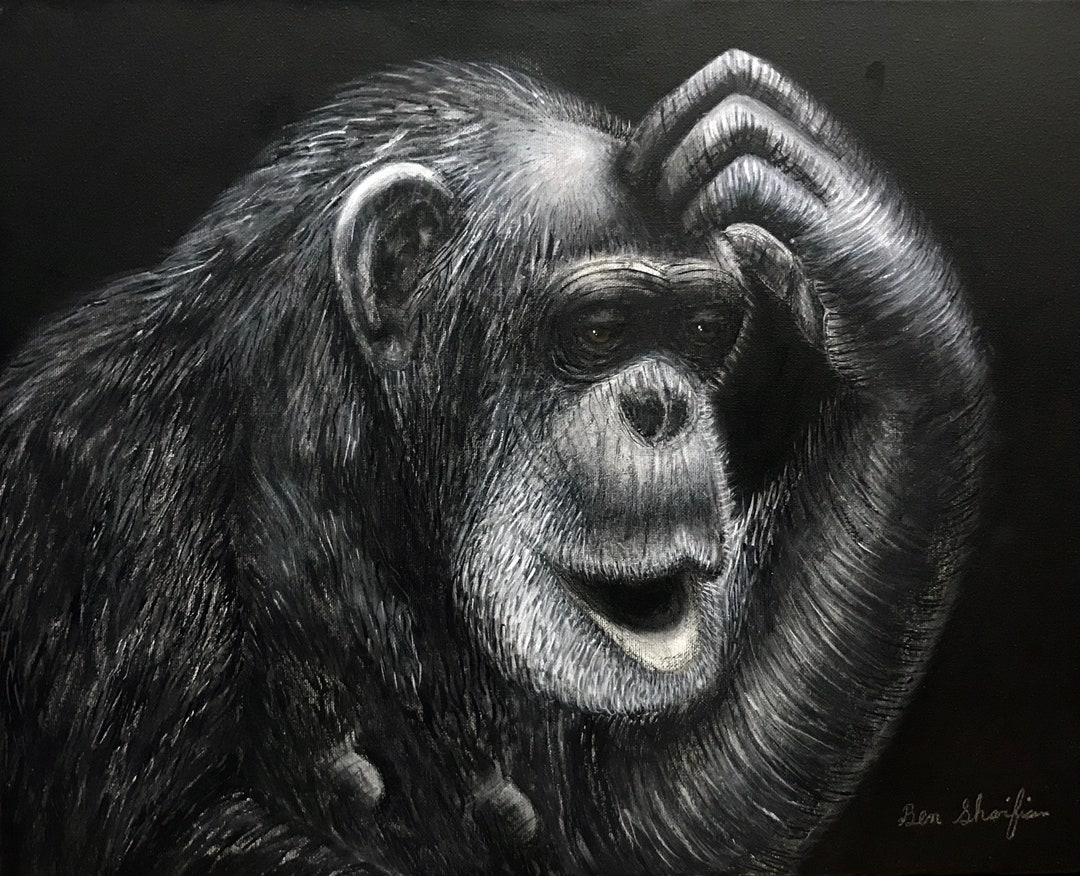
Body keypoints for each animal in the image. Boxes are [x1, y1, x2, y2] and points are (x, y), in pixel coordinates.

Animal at [0, 51, 989, 873]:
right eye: (601, 330)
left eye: (704, 331)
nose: (663, 406)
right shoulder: (98, 508)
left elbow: (652, 818)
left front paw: (865, 255)